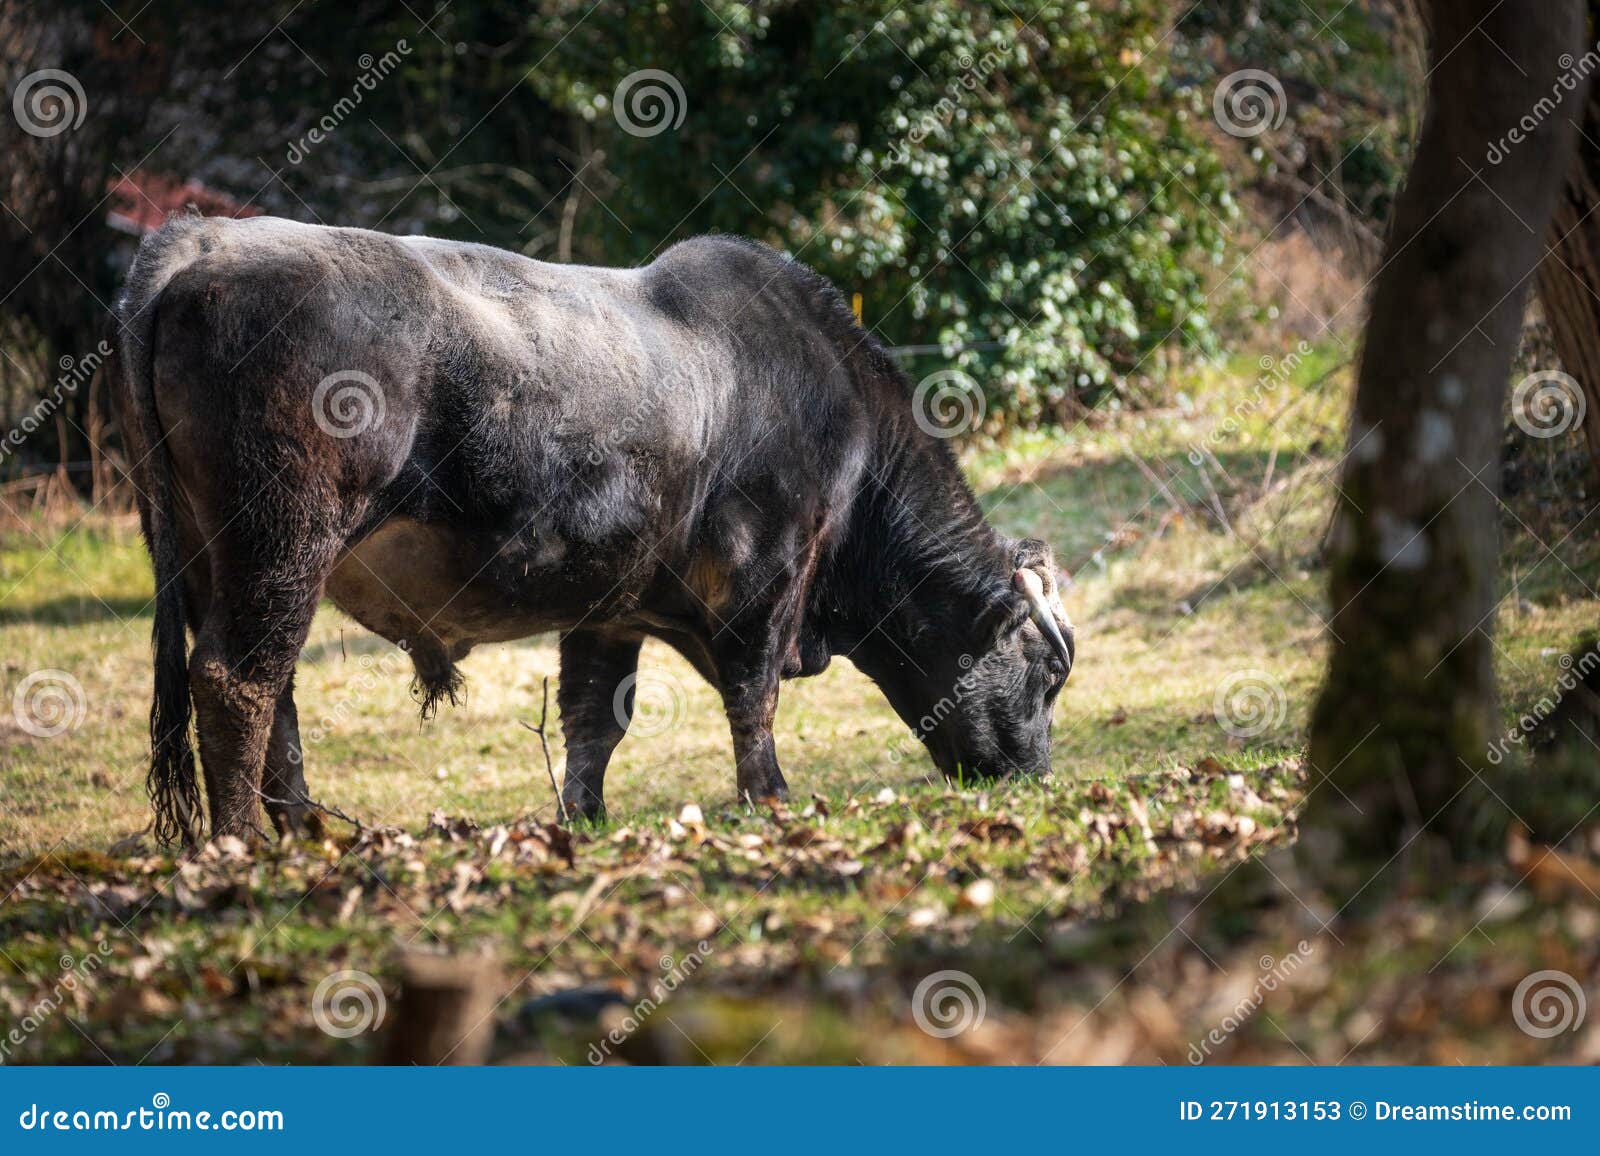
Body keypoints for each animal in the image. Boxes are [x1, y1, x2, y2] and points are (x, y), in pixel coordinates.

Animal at [113, 214, 1075, 846]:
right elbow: (752, 699)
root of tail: (202, 241)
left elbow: (592, 720)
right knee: (238, 680)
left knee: (271, 684)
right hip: (283, 543)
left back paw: (308, 828)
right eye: (1046, 672)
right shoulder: (763, 579)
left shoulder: (611, 607)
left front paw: (584, 817)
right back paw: (248, 842)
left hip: (220, 558)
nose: (1035, 776)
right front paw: (771, 797)